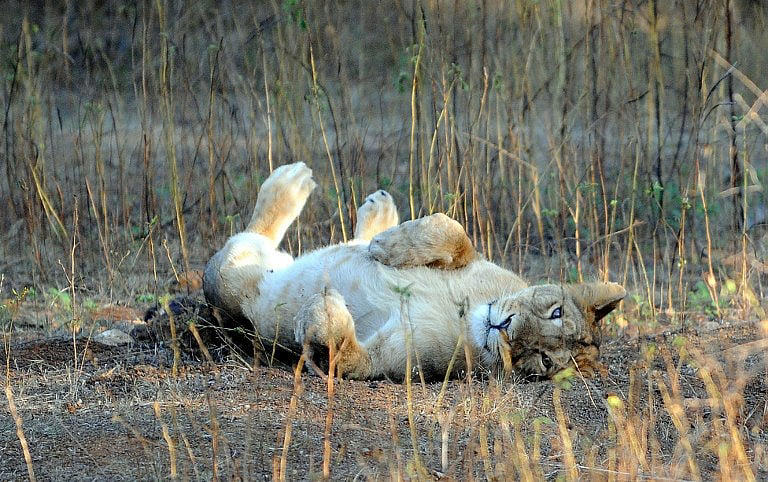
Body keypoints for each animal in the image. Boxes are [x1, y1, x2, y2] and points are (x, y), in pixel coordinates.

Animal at [203, 162, 626, 380]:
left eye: (543, 362)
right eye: (554, 311)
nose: (504, 328)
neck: (467, 313)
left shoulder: (389, 361)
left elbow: (344, 355)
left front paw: (325, 310)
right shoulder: (477, 260)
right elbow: (454, 232)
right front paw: (386, 247)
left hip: (229, 278)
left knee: (249, 239)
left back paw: (294, 186)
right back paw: (364, 206)